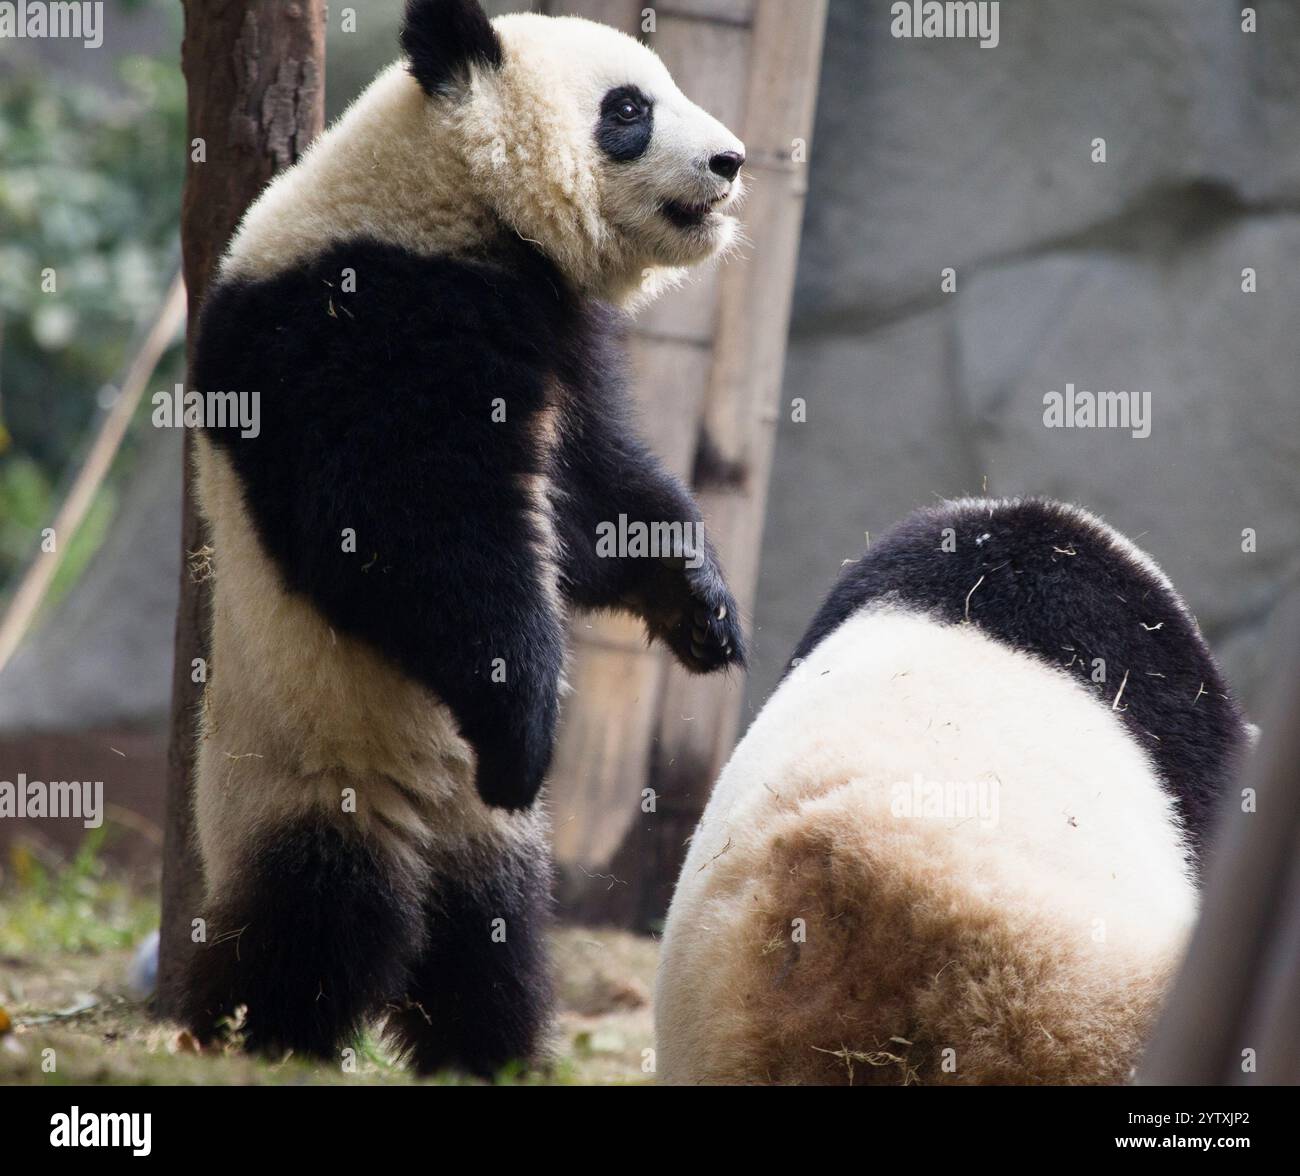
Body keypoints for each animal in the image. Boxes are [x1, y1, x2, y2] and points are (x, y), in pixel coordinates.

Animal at [180, 0, 748, 1077]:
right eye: (628, 109)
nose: (732, 161)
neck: (447, 193)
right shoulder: (359, 317)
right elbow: (409, 533)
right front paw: (524, 715)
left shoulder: (552, 334)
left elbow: (582, 501)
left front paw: (701, 606)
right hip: (313, 756)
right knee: (318, 910)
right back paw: (255, 1033)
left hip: (484, 835)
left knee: (493, 931)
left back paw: (491, 1047)